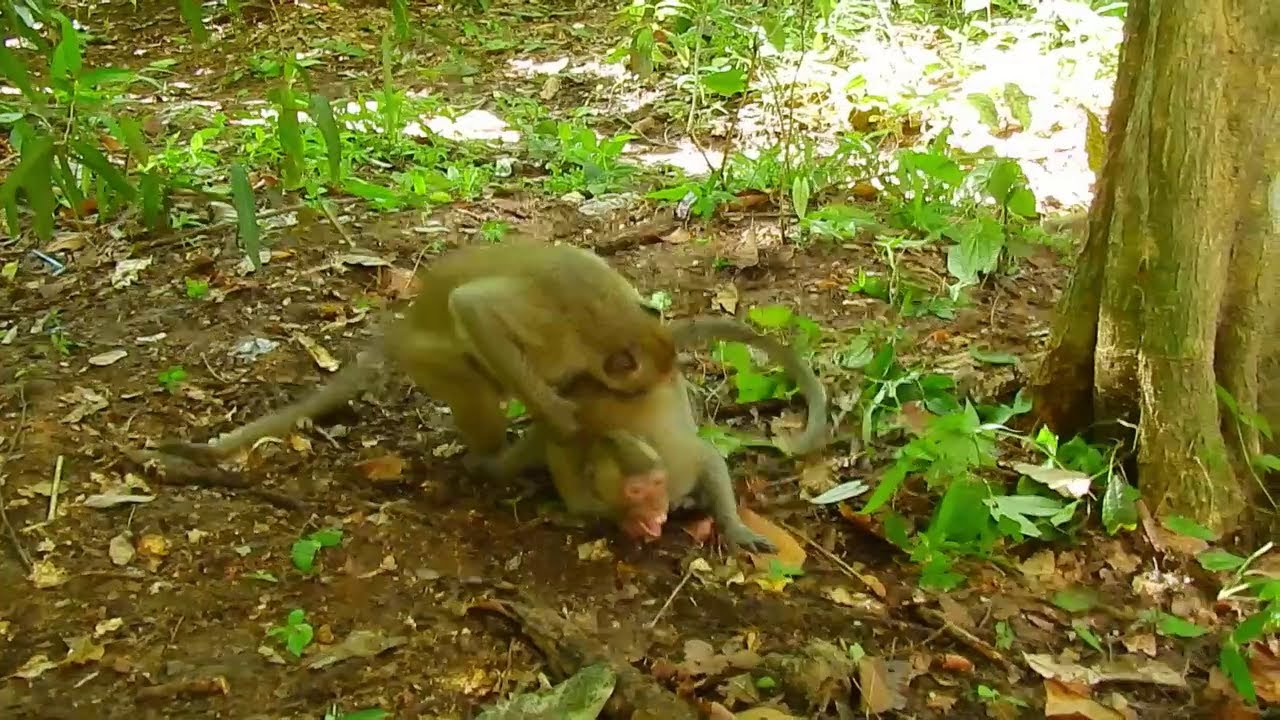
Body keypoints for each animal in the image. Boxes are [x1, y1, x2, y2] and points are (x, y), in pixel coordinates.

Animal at [157, 242, 677, 468]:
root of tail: (402, 327)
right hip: (431, 361)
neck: (609, 317)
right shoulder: (557, 327)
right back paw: (490, 461)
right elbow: (472, 308)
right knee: (476, 390)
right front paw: (558, 417)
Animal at [479, 315, 829, 552]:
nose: (656, 508)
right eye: (636, 491)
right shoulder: (573, 475)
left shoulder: (677, 465)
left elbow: (708, 459)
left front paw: (735, 529)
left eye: (657, 484)